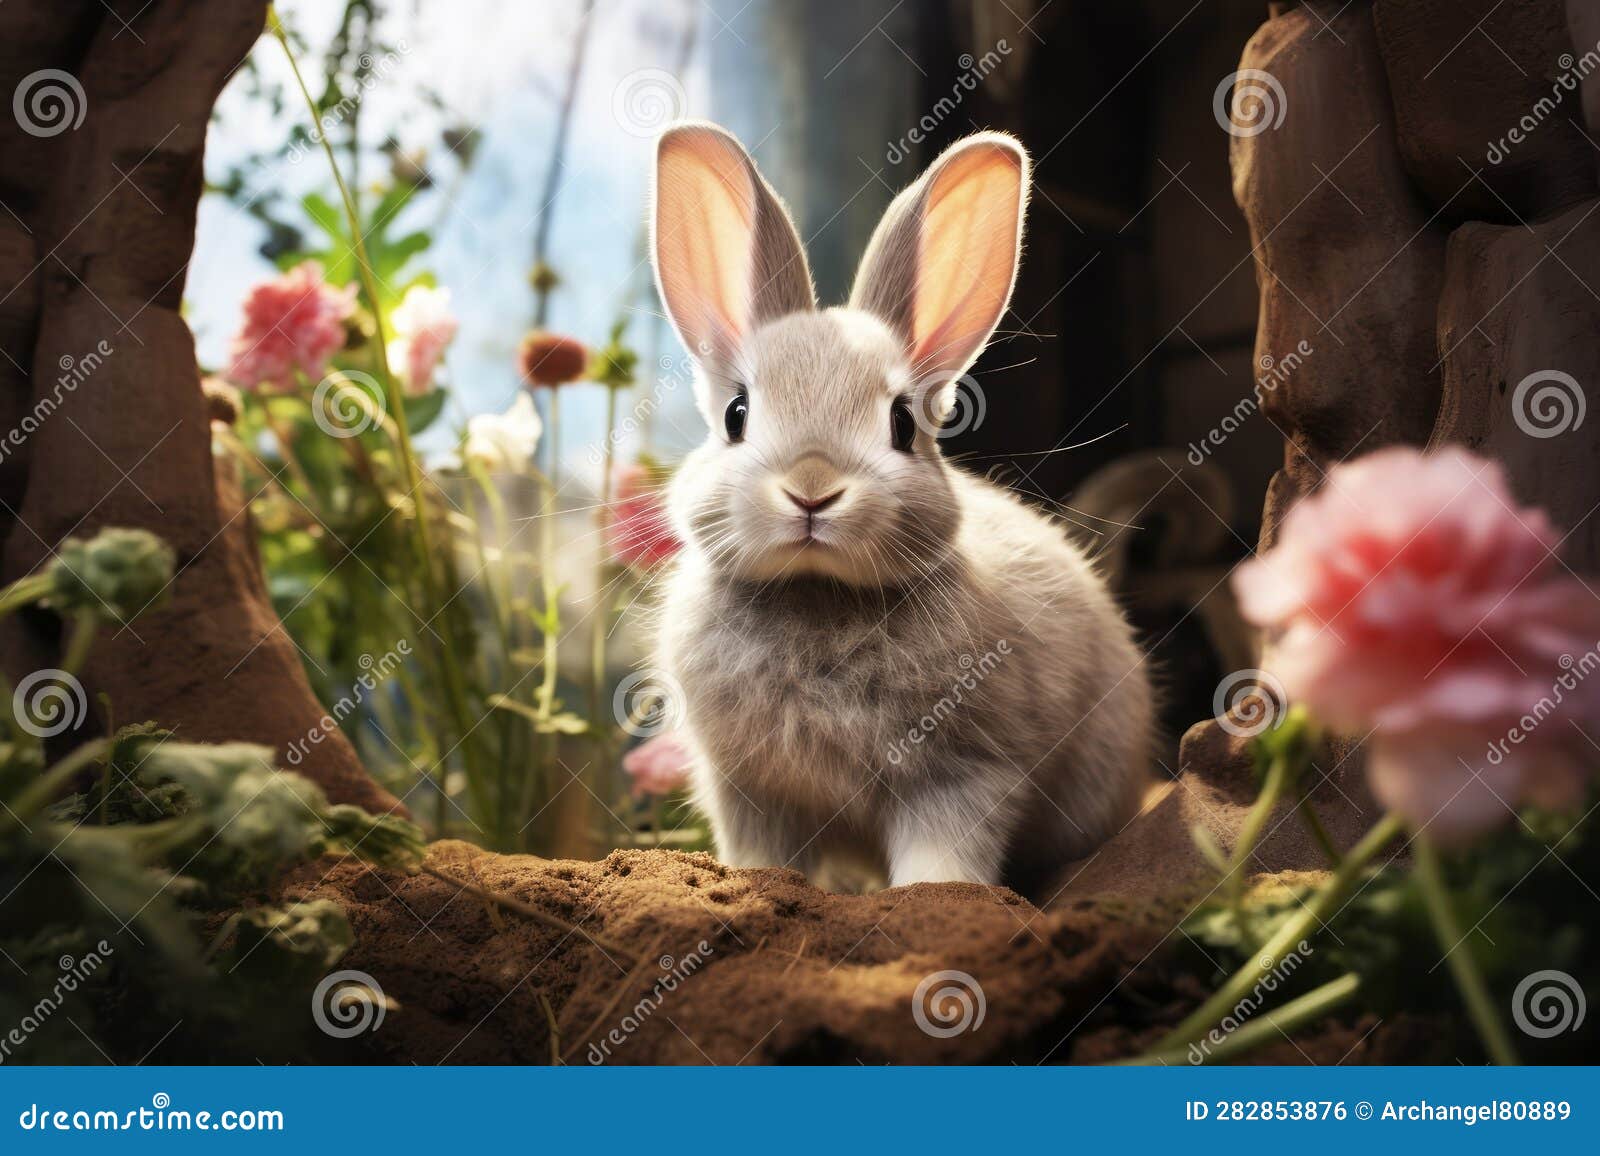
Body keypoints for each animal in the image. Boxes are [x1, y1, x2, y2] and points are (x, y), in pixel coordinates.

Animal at [647, 121, 1152, 898]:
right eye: (736, 415)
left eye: (902, 424)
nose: (812, 487)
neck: (815, 593)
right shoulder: (750, 792)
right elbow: (763, 858)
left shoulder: (964, 773)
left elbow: (941, 861)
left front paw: (930, 901)